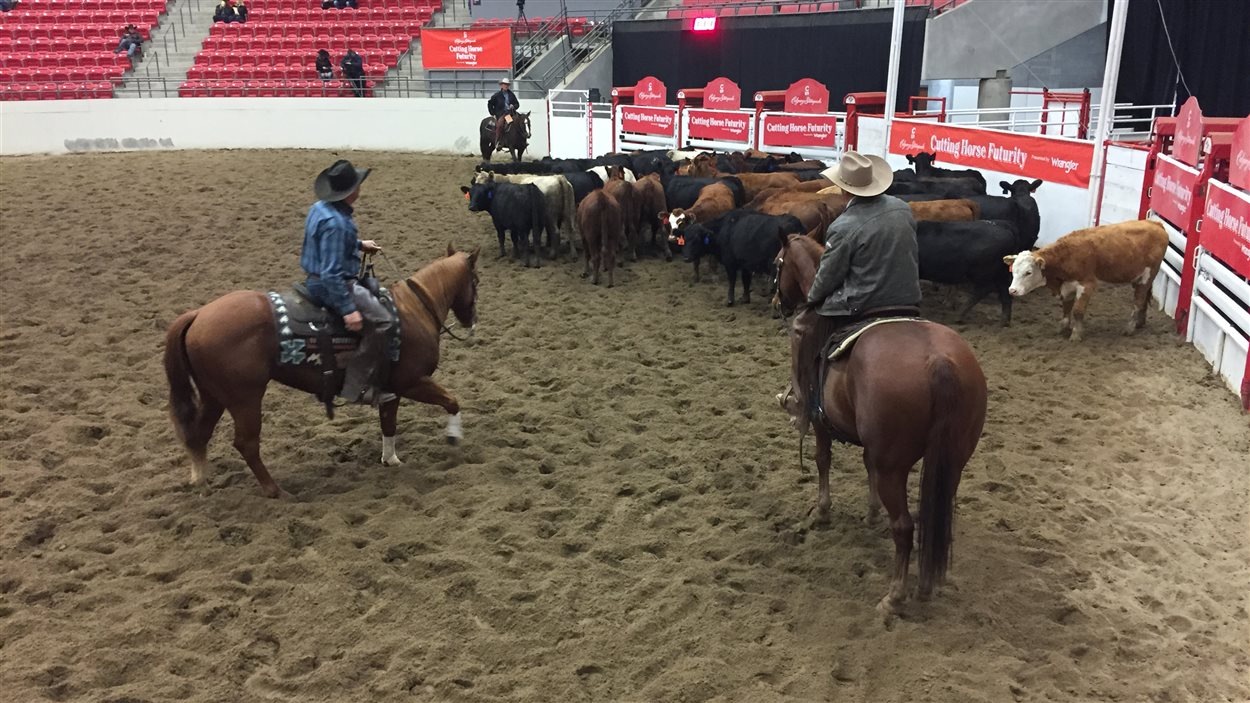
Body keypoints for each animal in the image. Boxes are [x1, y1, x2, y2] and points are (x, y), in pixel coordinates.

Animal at [162, 245, 480, 499]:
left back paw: (202, 484)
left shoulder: (391, 390)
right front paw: (454, 438)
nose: (472, 321)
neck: (414, 309)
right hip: (245, 399)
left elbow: (388, 424)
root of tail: (198, 315)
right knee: (246, 443)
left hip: (214, 396)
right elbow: (451, 400)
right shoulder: (412, 382)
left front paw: (391, 460)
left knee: (199, 435)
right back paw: (275, 490)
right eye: (476, 281)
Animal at [773, 233, 988, 618]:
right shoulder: (871, 446)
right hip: (953, 460)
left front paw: (822, 511)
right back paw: (931, 582)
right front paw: (871, 513)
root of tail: (940, 362)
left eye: (776, 263)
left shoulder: (822, 423)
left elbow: (822, 460)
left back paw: (894, 596)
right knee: (937, 517)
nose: (776, 302)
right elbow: (864, 466)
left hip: (894, 467)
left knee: (903, 527)